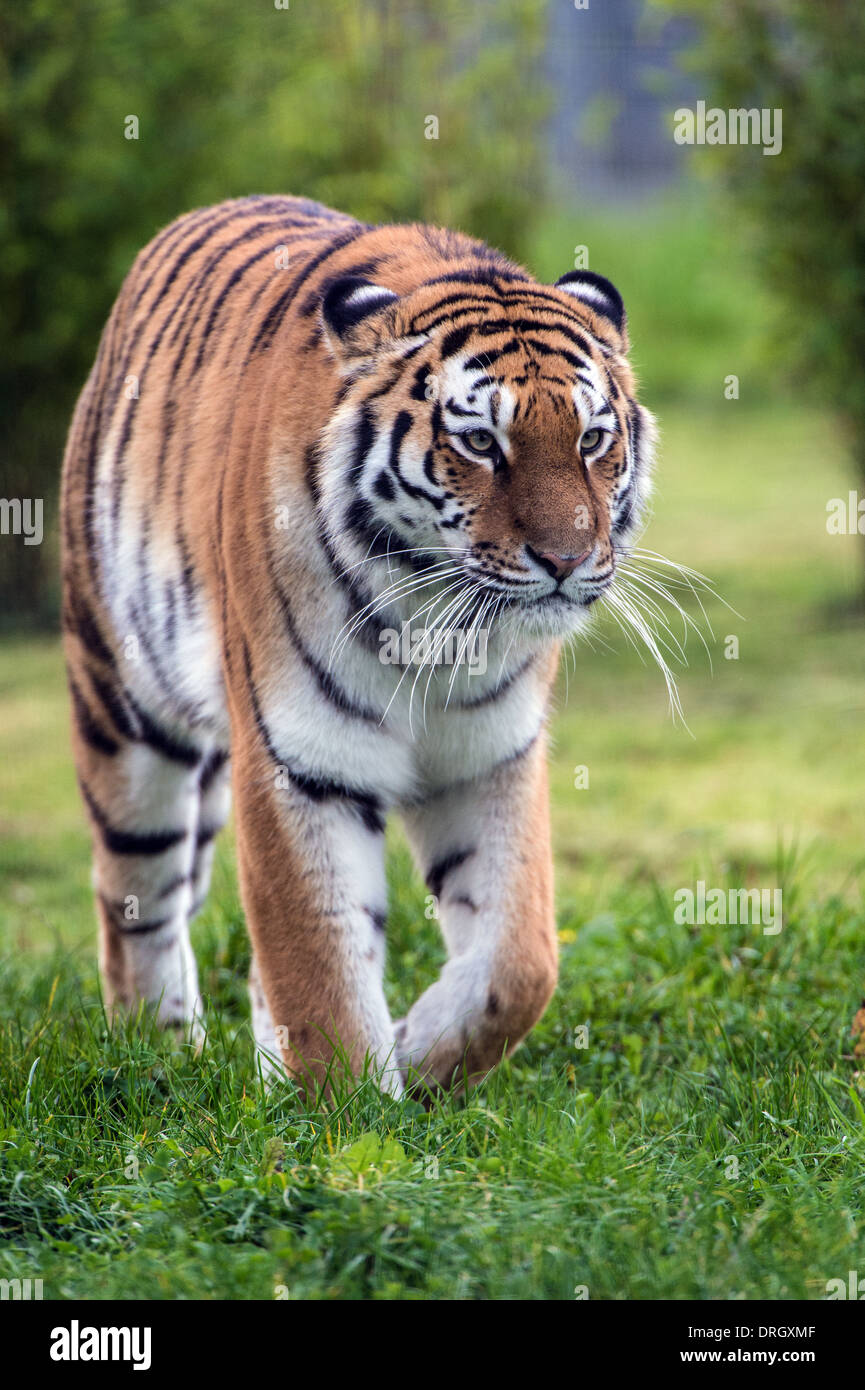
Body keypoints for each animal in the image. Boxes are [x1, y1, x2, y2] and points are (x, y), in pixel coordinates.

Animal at [60, 194, 656, 1097]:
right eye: (480, 444)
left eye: (591, 439)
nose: (566, 560)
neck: (441, 627)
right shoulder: (300, 759)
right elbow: (318, 965)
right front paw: (351, 1114)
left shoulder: (490, 754)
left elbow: (518, 964)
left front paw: (416, 1053)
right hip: (124, 705)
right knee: (133, 900)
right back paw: (158, 1055)